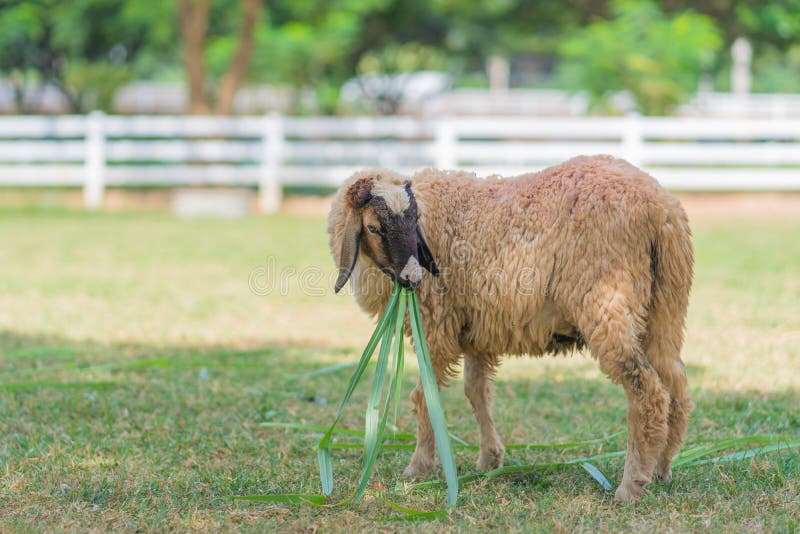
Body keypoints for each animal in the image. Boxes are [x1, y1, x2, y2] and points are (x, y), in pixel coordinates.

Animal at [327, 155, 694, 502]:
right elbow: (477, 392)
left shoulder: (436, 326)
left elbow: (425, 396)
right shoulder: (476, 332)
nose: (415, 279)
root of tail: (661, 207)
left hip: (607, 300)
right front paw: (490, 459)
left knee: (646, 390)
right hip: (665, 309)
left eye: (413, 220)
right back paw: (661, 468)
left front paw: (418, 468)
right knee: (675, 384)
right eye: (373, 228)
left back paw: (631, 484)